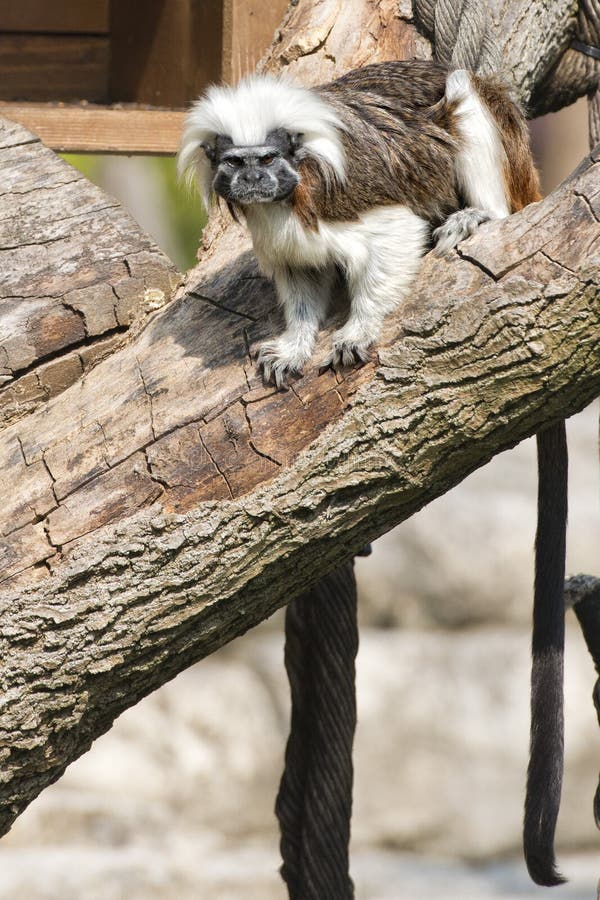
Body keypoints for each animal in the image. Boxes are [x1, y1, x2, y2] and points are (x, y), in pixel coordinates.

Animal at [178, 59, 567, 888]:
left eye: (271, 159)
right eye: (236, 162)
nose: (254, 180)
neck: (289, 195)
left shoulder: (348, 198)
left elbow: (390, 241)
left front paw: (355, 331)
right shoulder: (280, 231)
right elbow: (298, 282)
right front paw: (296, 343)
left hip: (506, 158)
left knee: (465, 104)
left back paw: (476, 217)